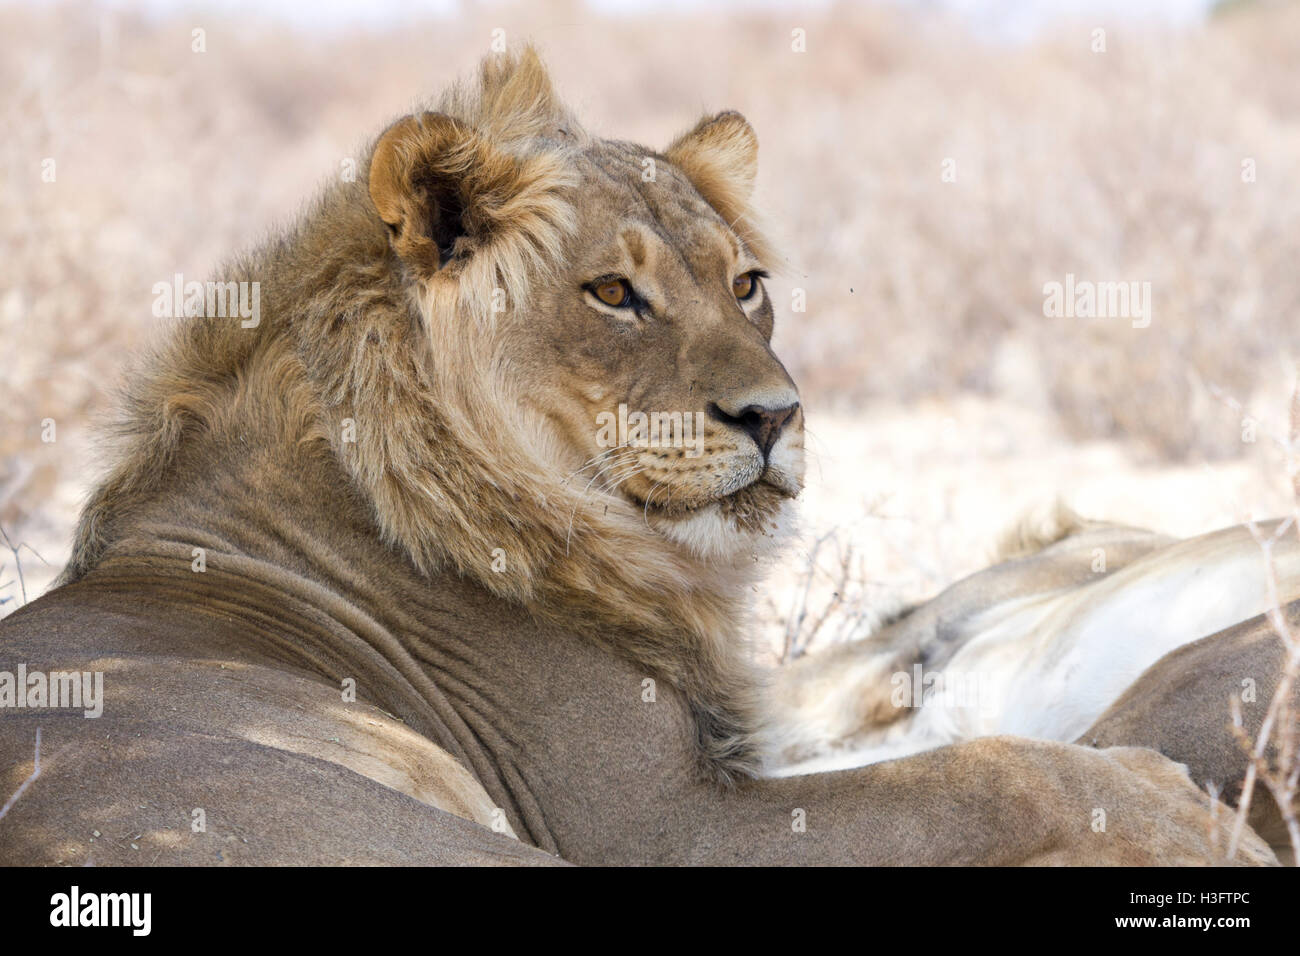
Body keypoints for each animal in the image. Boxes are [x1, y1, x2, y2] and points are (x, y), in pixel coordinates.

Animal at [0, 48, 1278, 865]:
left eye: (746, 283)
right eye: (614, 293)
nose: (776, 415)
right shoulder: (661, 826)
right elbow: (990, 768)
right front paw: (1175, 804)